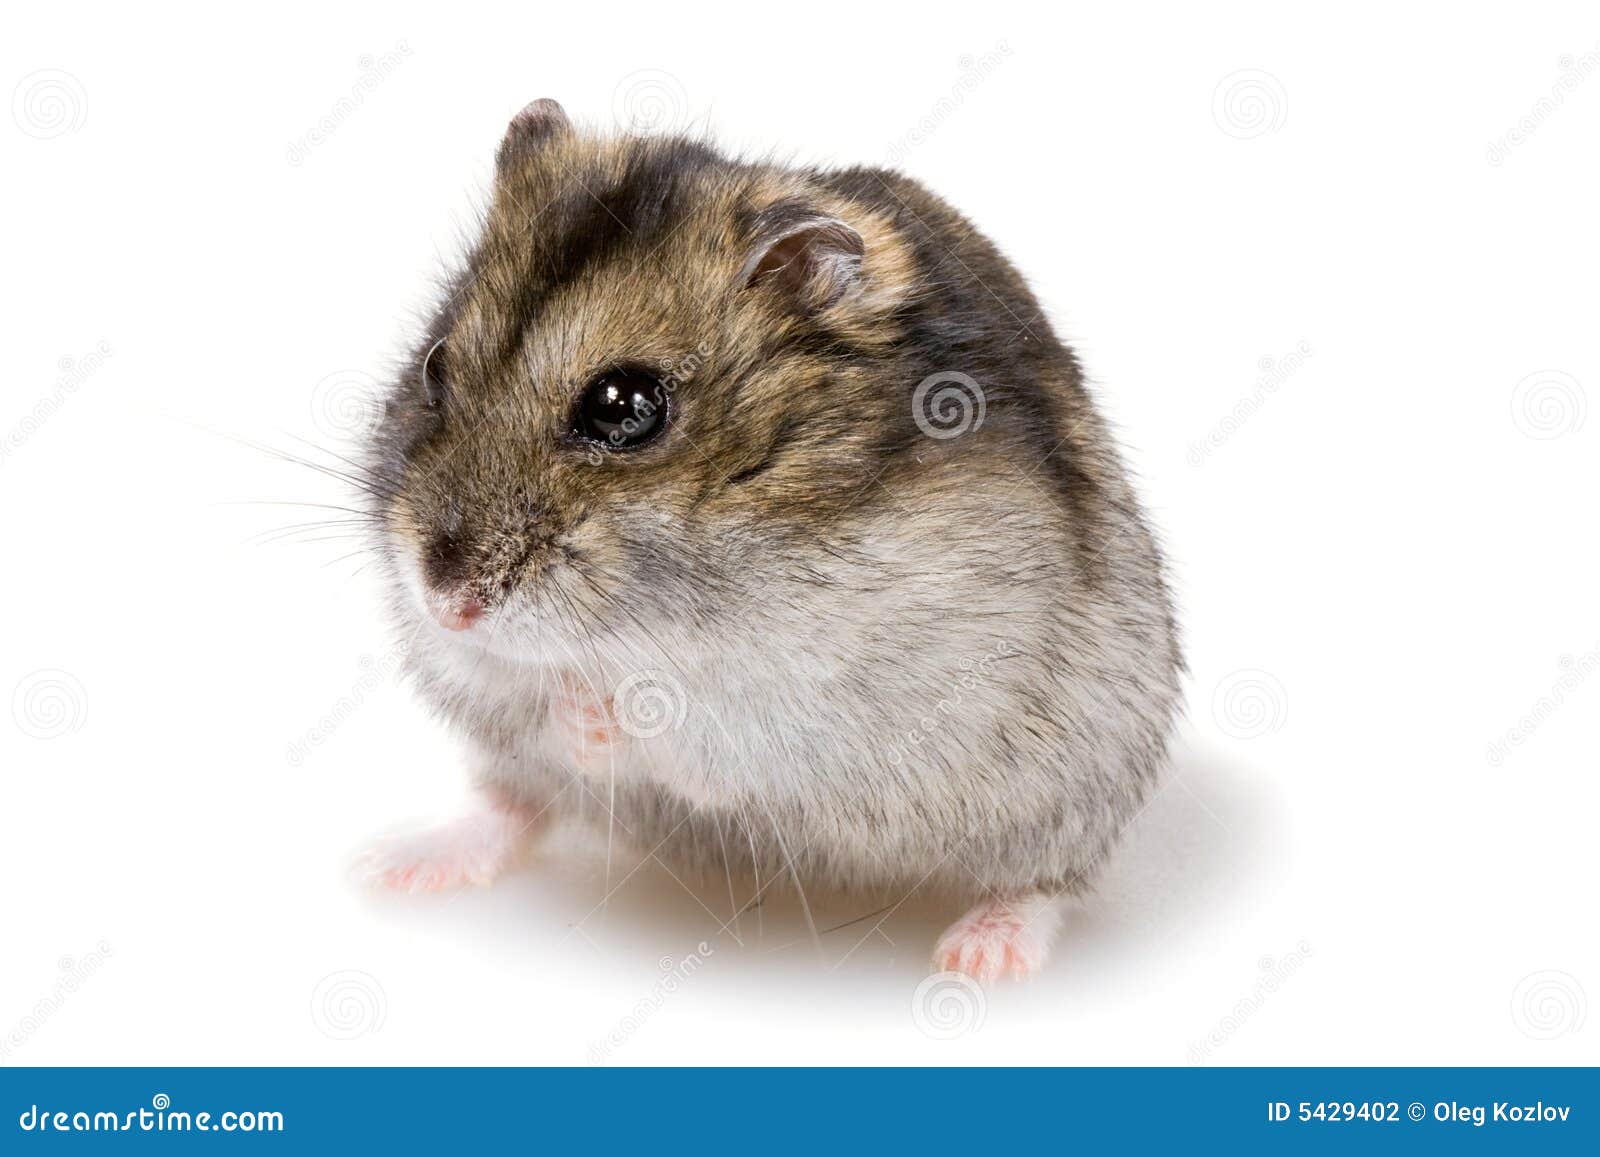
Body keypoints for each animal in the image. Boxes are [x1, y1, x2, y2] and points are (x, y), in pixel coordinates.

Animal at [356, 98, 1182, 981]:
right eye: (434, 367)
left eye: (624, 404)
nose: (447, 603)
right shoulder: (466, 671)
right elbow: (519, 699)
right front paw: (560, 698)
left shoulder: (813, 700)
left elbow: (667, 720)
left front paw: (594, 706)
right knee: (515, 806)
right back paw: (395, 866)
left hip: (1072, 790)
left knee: (1047, 883)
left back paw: (980, 956)